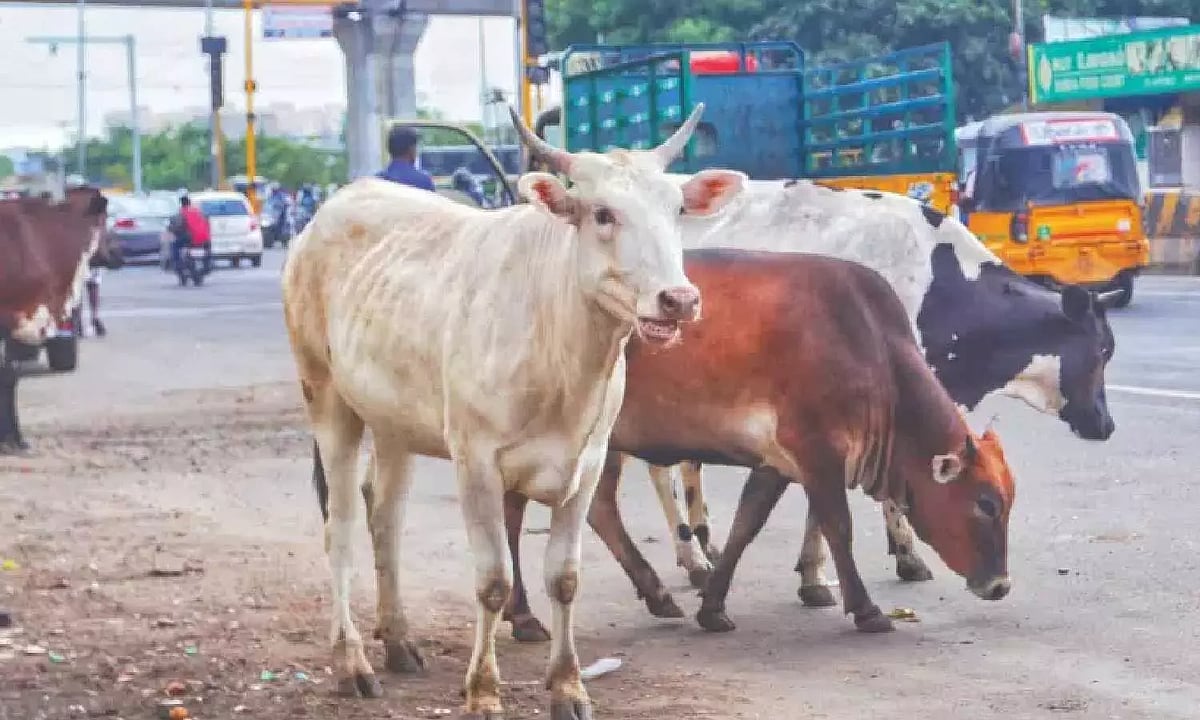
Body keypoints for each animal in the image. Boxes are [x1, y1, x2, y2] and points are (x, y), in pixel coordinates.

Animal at [284, 104, 746, 719]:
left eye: (676, 210)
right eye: (603, 213)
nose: (679, 300)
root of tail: (330, 210)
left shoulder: (586, 464)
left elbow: (564, 578)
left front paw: (569, 687)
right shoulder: (476, 464)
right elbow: (494, 581)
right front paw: (482, 691)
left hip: (395, 424)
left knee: (385, 517)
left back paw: (399, 640)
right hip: (327, 398)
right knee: (339, 526)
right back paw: (352, 661)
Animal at [501, 249, 1016, 639]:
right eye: (986, 503)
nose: (1000, 587)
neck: (870, 347)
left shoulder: (779, 462)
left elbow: (746, 524)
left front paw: (713, 606)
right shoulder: (817, 452)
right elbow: (838, 526)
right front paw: (866, 609)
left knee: (599, 508)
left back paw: (656, 595)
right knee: (513, 515)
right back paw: (523, 614)